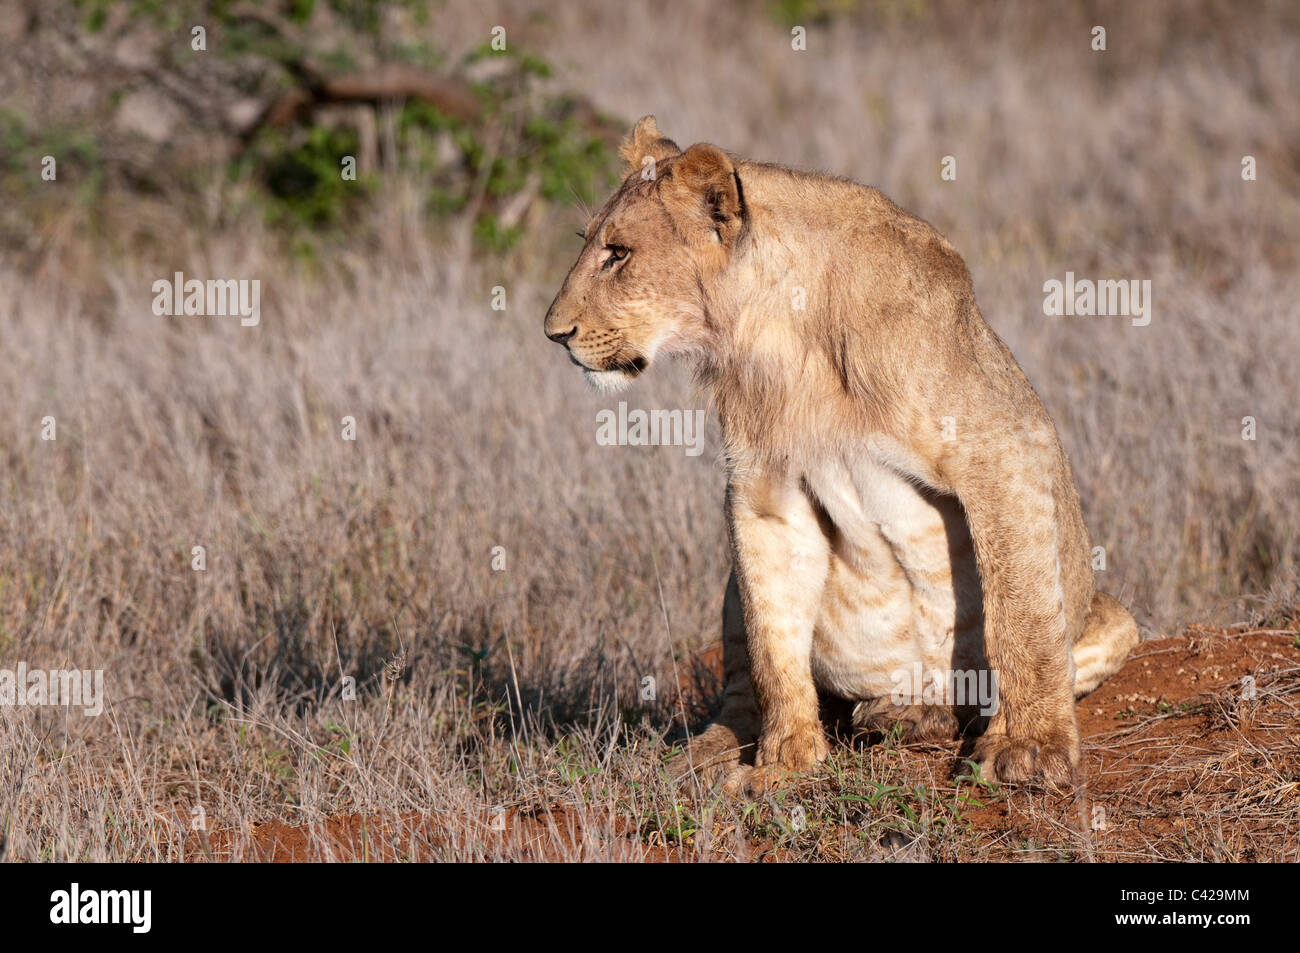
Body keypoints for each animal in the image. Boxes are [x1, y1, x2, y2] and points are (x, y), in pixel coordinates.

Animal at [544, 116, 1139, 794]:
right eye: (591, 244)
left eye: (618, 253)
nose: (553, 333)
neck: (785, 331)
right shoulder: (762, 491)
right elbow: (773, 644)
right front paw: (784, 763)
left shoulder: (1006, 443)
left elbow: (1022, 610)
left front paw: (1032, 749)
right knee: (742, 687)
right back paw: (713, 751)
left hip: (1113, 617)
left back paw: (918, 715)